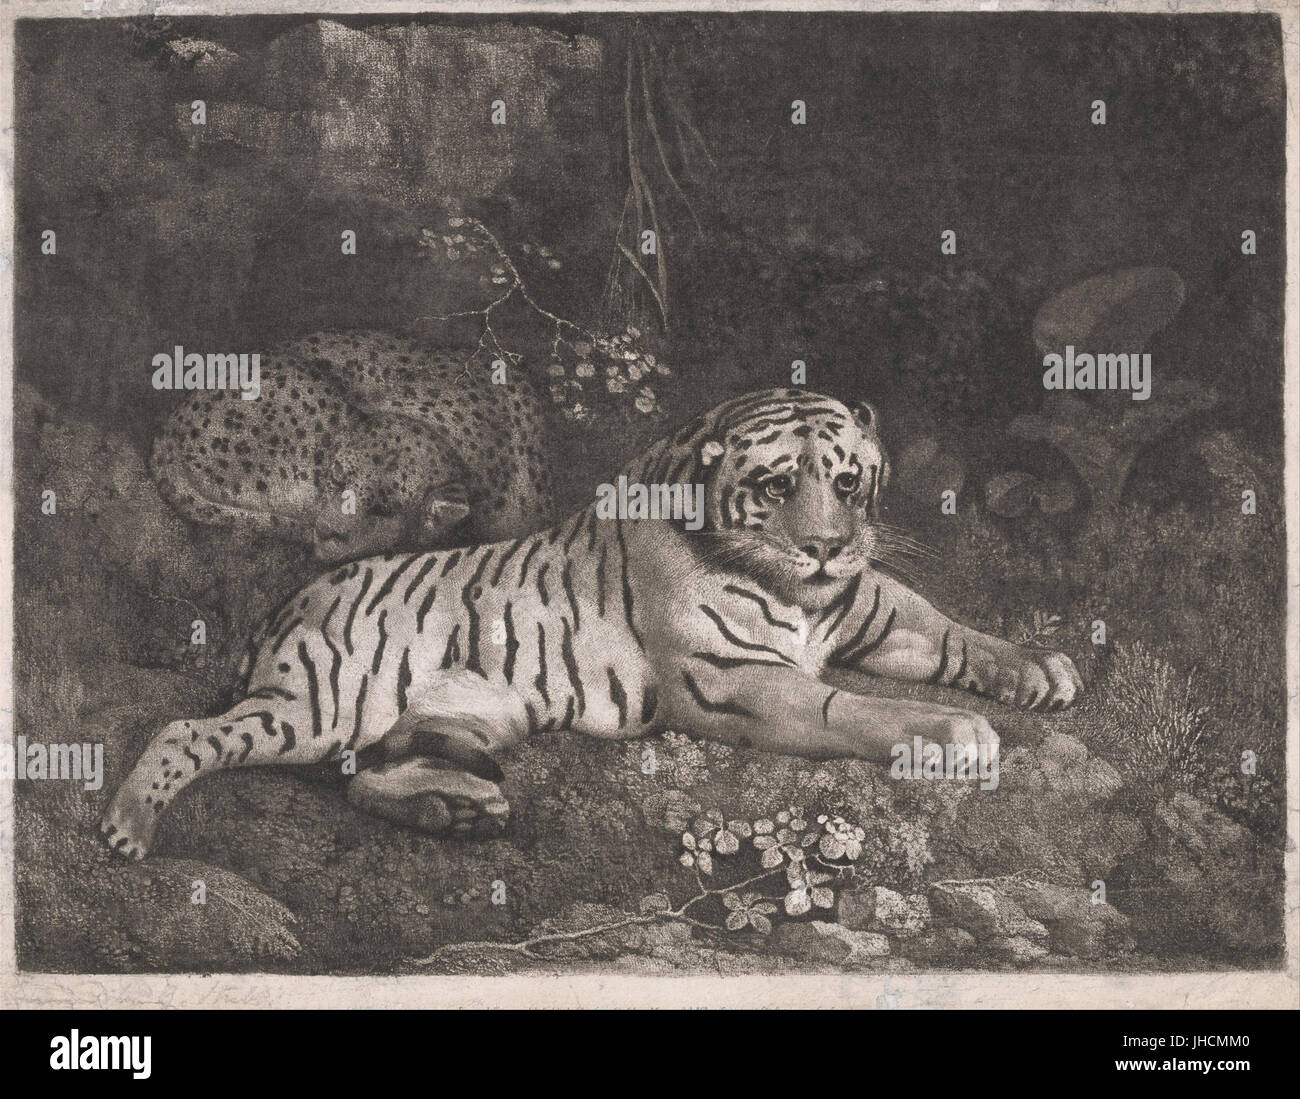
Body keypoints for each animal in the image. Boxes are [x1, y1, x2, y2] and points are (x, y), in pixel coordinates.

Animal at [100, 387, 1082, 859]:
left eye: (847, 480)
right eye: (776, 486)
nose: (827, 546)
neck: (800, 592)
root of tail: (287, 600)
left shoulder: (867, 602)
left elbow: (949, 628)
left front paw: (1043, 668)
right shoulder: (730, 681)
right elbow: (854, 706)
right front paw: (954, 731)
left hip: (470, 714)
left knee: (368, 777)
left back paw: (459, 811)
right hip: (318, 703)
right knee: (187, 730)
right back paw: (128, 829)